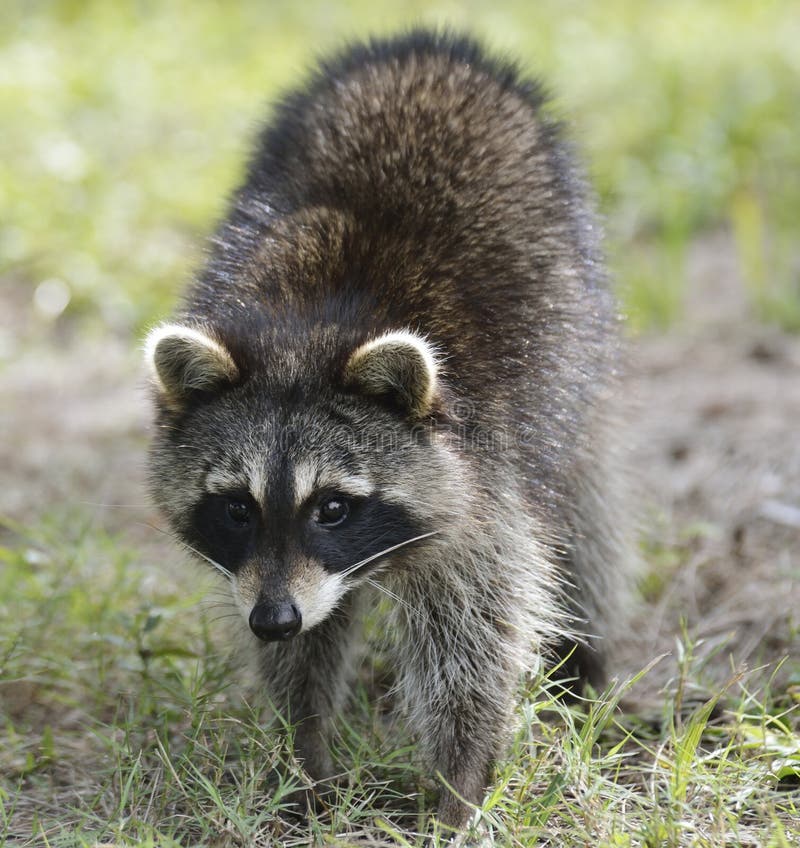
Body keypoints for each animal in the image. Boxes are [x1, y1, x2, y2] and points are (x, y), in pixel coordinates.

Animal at [144, 30, 629, 831]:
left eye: (334, 507)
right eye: (237, 507)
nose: (273, 620)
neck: (310, 327)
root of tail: (425, 48)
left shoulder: (484, 470)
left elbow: (477, 632)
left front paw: (458, 788)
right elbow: (305, 653)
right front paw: (304, 751)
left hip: (579, 337)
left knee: (586, 511)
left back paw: (585, 655)